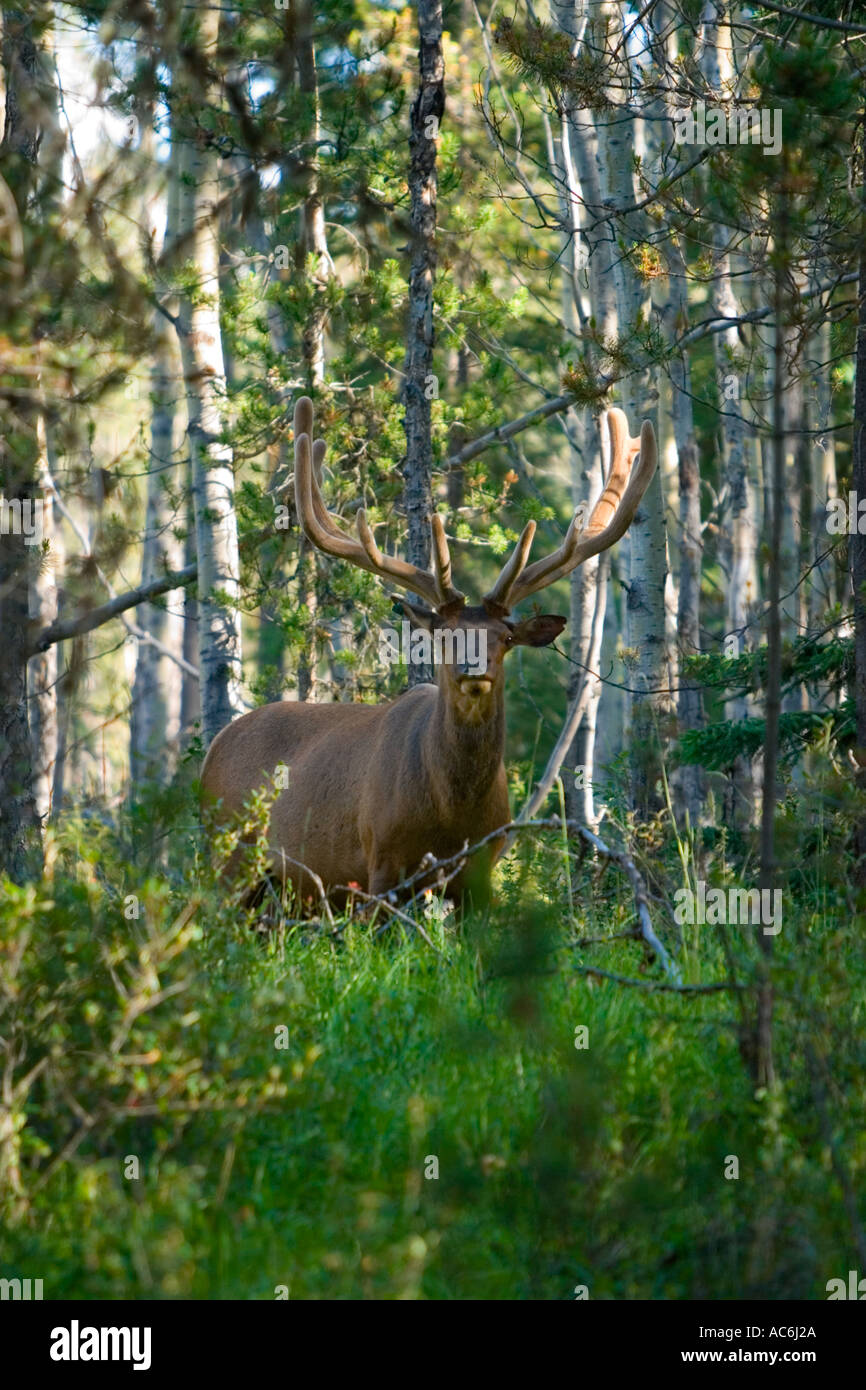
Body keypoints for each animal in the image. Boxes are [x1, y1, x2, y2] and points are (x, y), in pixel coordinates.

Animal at [201, 396, 657, 909]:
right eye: (444, 635)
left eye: (505, 638)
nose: (473, 669)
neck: (452, 816)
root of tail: (213, 748)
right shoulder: (379, 861)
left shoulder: (482, 868)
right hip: (227, 858)